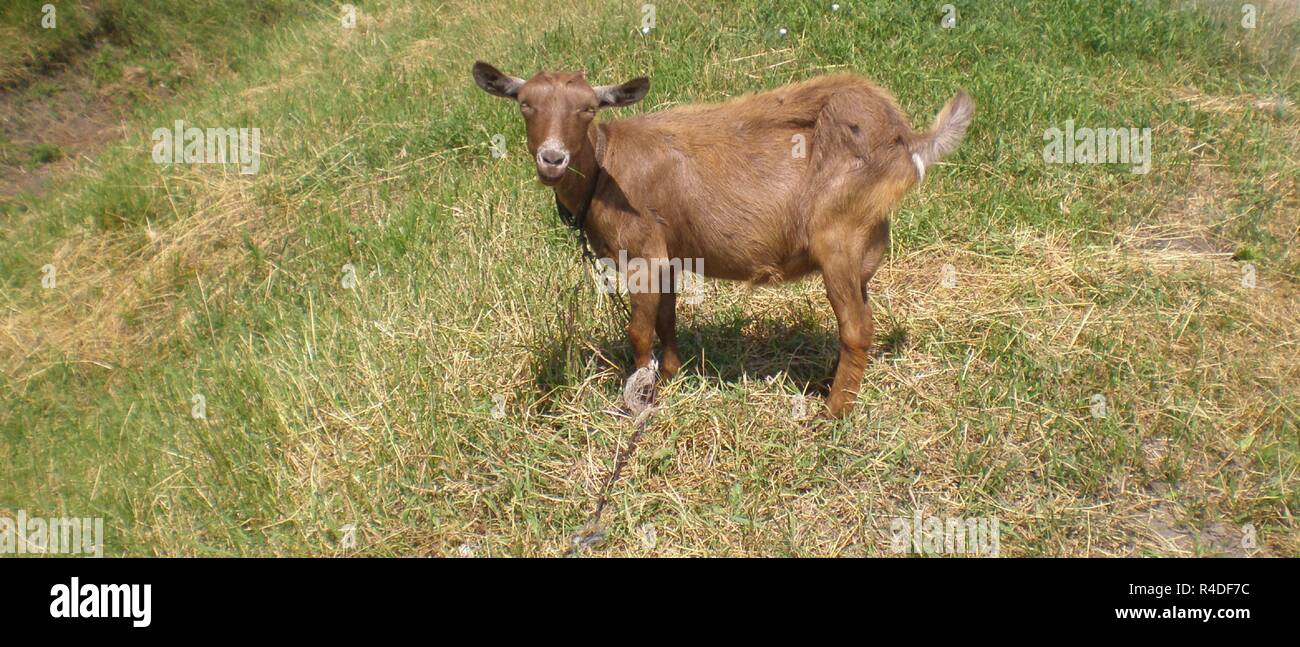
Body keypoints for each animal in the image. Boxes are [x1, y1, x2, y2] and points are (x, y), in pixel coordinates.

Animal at [473, 62, 973, 417]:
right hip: (863, 250)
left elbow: (638, 330)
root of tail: (904, 138)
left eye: (587, 108)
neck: (605, 167)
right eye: (525, 104)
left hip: (839, 239)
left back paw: (832, 414)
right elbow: (667, 317)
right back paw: (830, 385)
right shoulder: (669, 253)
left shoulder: (642, 252)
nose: (552, 158)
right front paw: (670, 375)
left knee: (856, 328)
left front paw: (640, 398)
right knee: (861, 318)